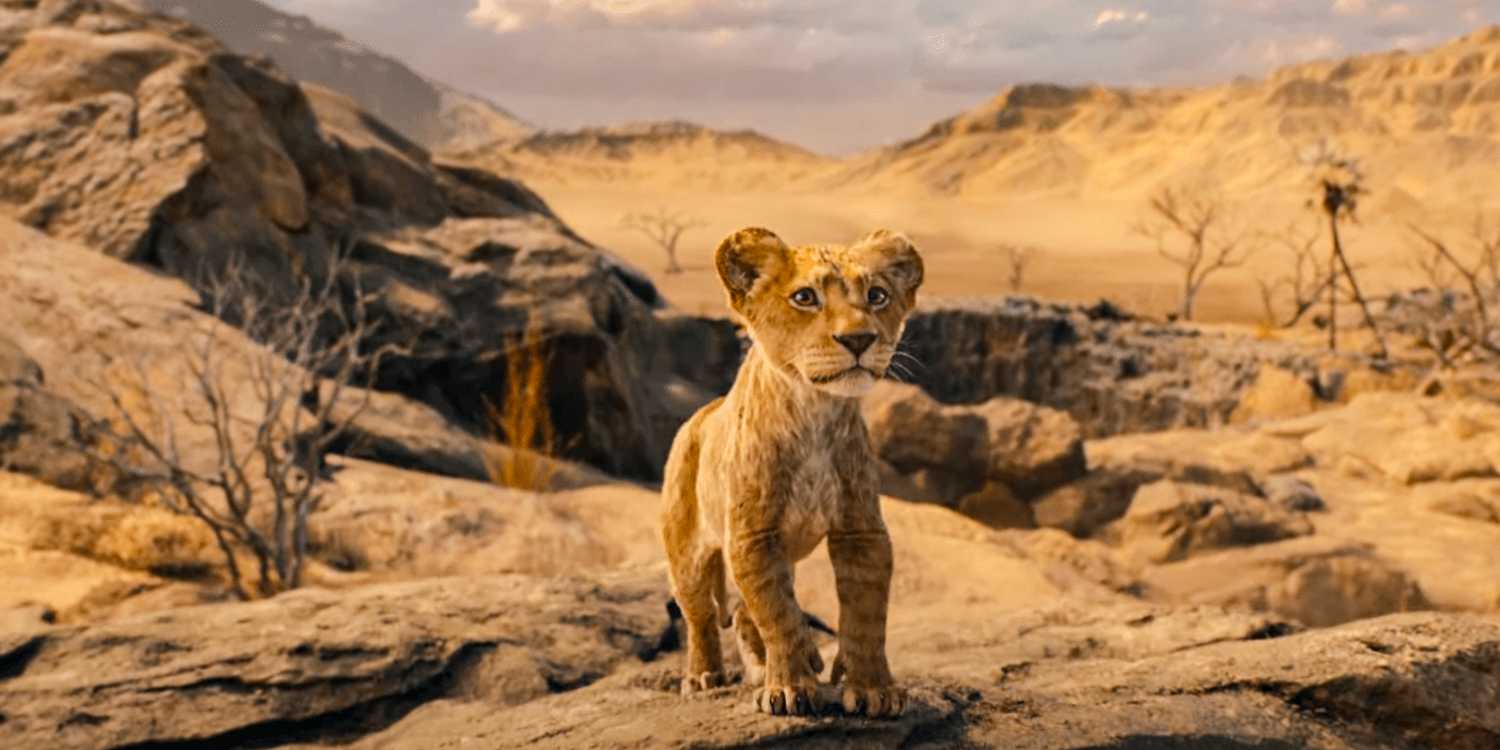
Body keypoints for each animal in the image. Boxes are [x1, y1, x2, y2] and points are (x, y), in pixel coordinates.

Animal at [660, 226, 923, 718]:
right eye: (805, 297)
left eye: (877, 295)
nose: (859, 339)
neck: (815, 413)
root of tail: (699, 414)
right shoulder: (754, 535)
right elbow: (778, 615)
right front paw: (789, 688)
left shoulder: (861, 531)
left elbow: (866, 614)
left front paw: (873, 689)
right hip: (687, 553)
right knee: (700, 615)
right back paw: (704, 675)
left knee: (744, 611)